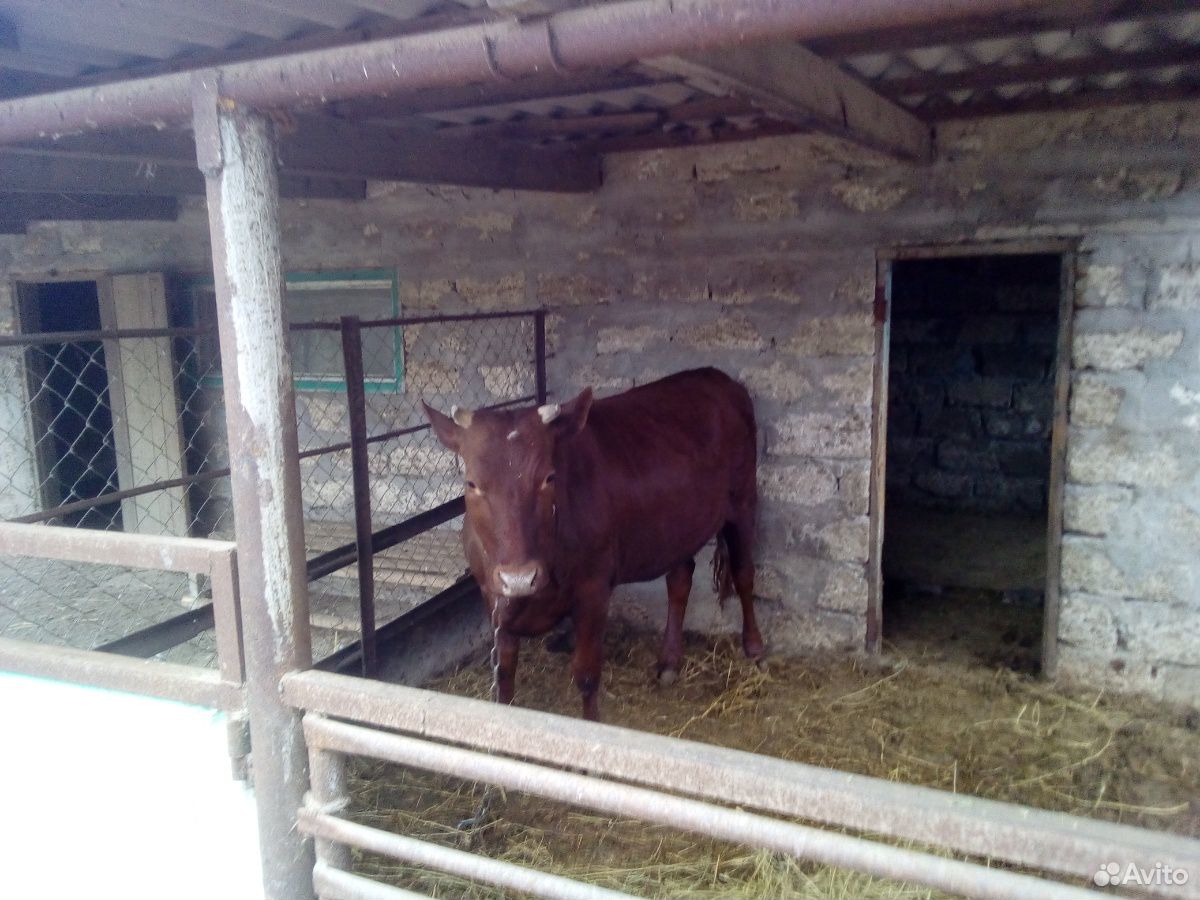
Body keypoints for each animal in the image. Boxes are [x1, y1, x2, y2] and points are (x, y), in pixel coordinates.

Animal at [423, 367, 762, 721]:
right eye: (471, 483)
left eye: (549, 477)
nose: (519, 578)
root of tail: (715, 375)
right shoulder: (493, 598)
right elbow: (503, 675)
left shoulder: (594, 590)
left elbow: (586, 674)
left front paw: (592, 723)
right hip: (680, 524)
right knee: (680, 580)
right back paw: (669, 661)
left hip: (743, 499)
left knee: (743, 572)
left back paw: (754, 649)